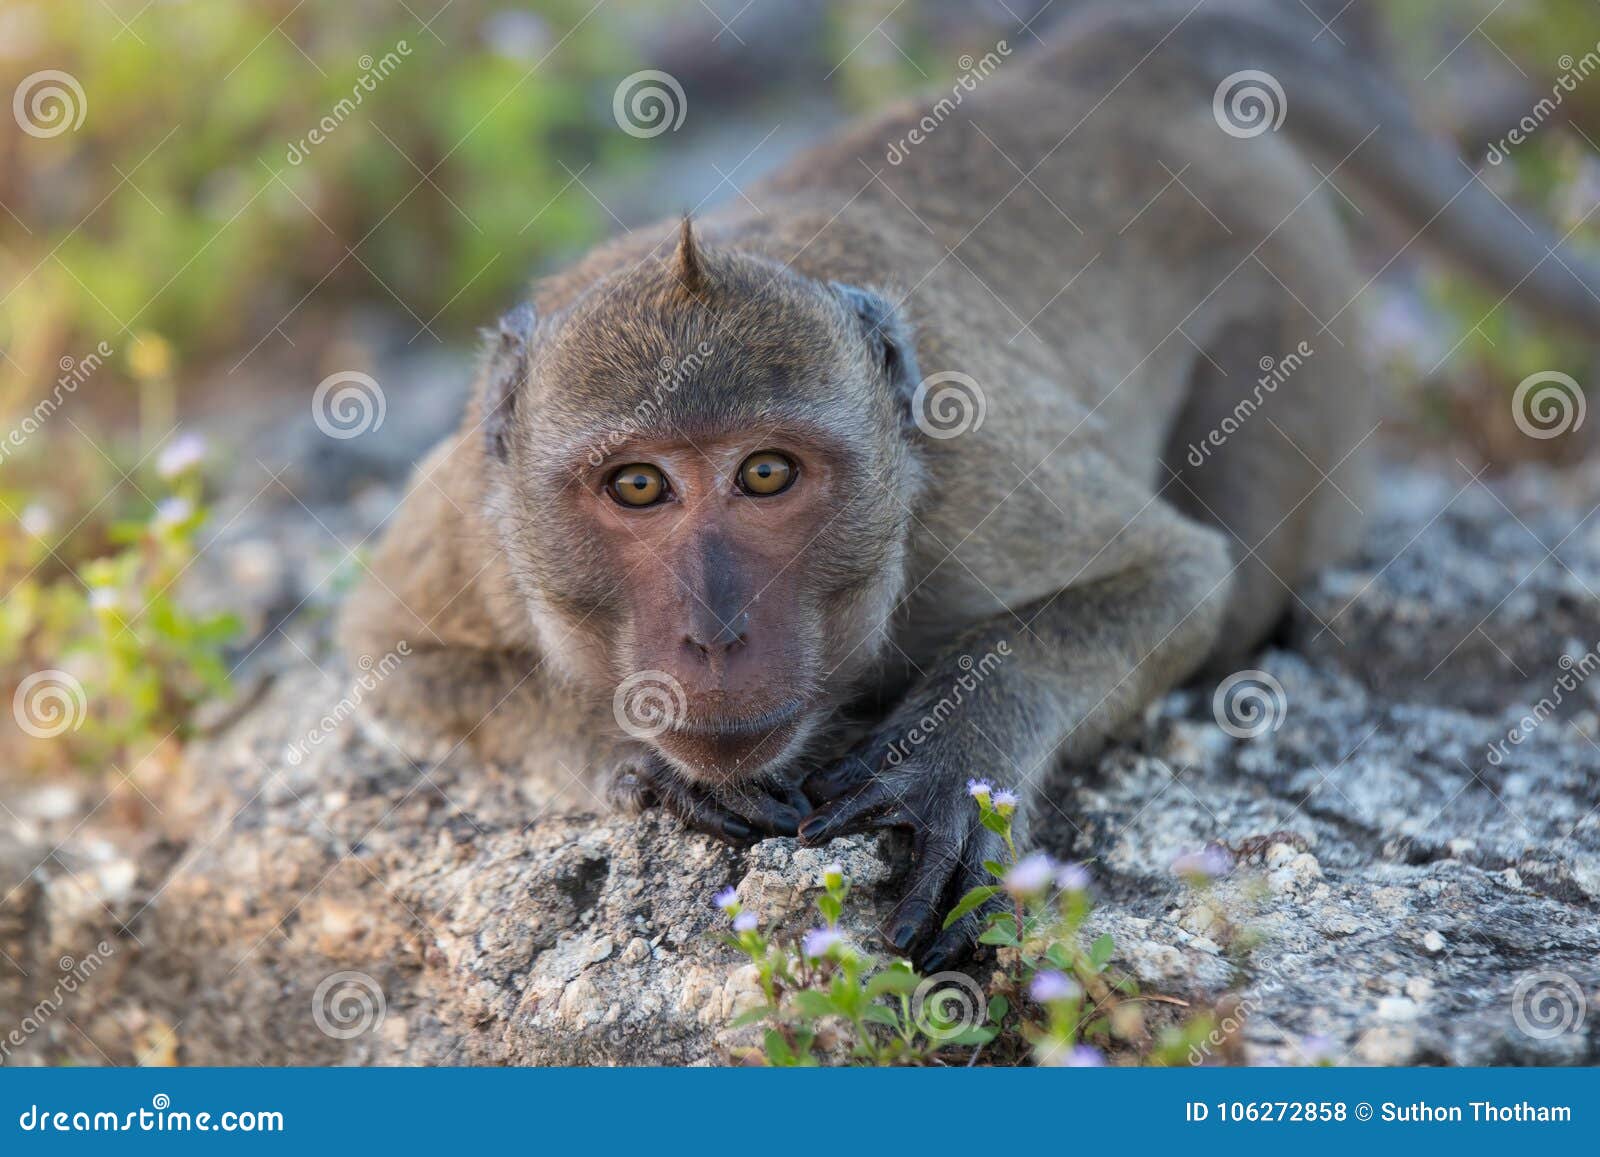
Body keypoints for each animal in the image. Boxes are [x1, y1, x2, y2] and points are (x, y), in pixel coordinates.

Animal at [341, 0, 1600, 969]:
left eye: (765, 472)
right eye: (639, 485)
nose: (713, 631)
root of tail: (1086, 72)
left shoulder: (975, 481)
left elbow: (1175, 576)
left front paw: (947, 757)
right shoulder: (475, 518)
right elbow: (389, 652)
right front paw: (640, 758)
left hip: (1290, 290)